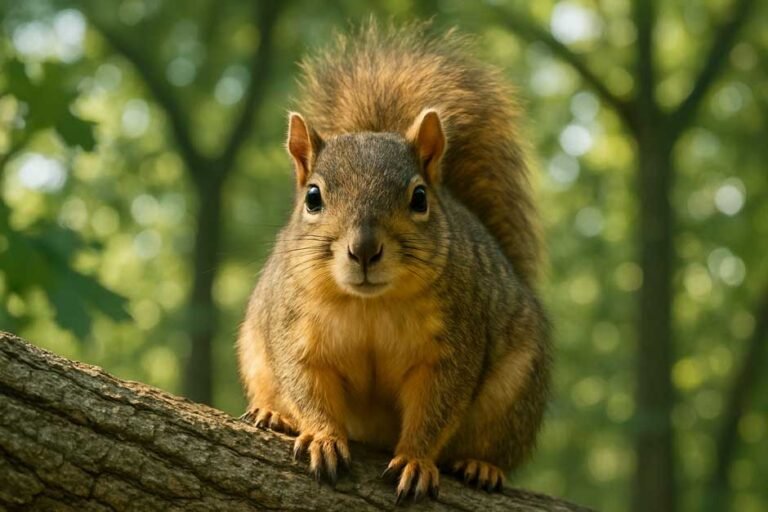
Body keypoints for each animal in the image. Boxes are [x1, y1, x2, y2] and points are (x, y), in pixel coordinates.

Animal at [237, 21, 550, 502]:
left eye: (419, 198)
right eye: (313, 197)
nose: (365, 249)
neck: (370, 305)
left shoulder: (451, 345)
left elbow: (435, 409)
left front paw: (416, 461)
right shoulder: (295, 331)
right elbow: (307, 387)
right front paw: (324, 437)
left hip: (514, 394)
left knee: (494, 442)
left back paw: (481, 466)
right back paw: (274, 415)